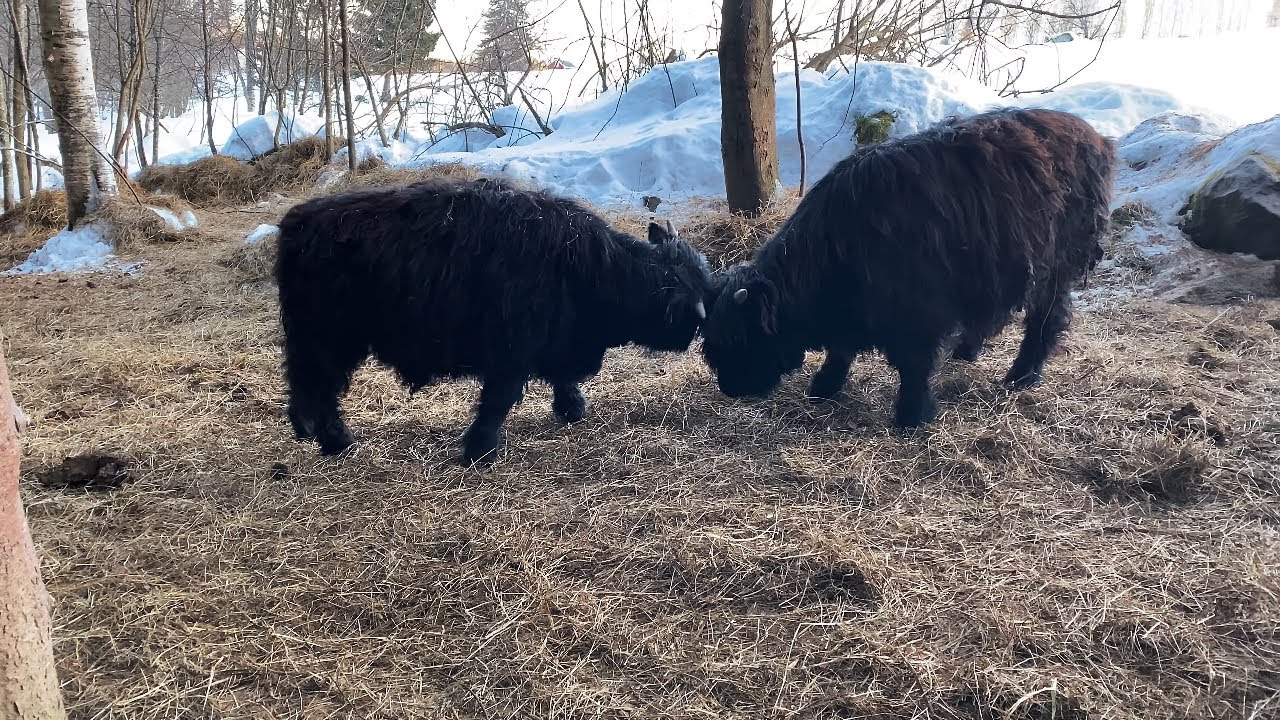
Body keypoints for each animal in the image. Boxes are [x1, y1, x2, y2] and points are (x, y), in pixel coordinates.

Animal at [276, 177, 713, 465]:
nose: (698, 327)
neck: (591, 267)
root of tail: (297, 222)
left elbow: (561, 379)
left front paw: (572, 409)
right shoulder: (511, 353)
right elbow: (498, 401)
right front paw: (479, 450)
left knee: (304, 384)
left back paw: (311, 432)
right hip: (329, 339)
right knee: (320, 390)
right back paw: (337, 441)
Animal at [701, 108, 1115, 428]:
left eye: (742, 337)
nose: (729, 388)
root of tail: (1095, 138)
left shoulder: (918, 314)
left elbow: (913, 366)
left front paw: (912, 416)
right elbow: (841, 350)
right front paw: (824, 387)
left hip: (1055, 267)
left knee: (1047, 318)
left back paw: (1022, 376)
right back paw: (967, 350)